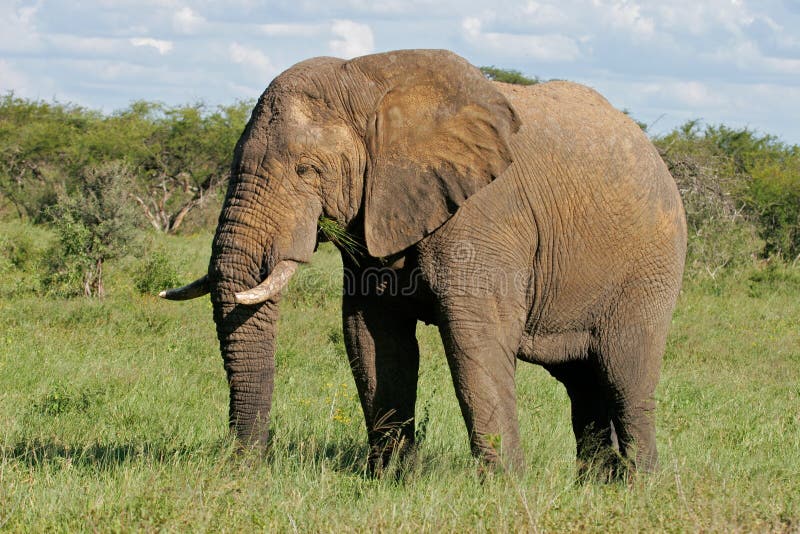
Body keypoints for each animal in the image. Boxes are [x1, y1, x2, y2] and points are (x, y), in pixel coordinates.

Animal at [161, 49, 686, 477]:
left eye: (307, 169)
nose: (244, 467)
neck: (369, 85)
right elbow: (372, 337)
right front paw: (389, 481)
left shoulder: (485, 213)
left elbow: (476, 338)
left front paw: (503, 489)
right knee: (584, 383)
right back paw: (596, 485)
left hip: (652, 265)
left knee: (625, 376)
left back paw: (638, 487)